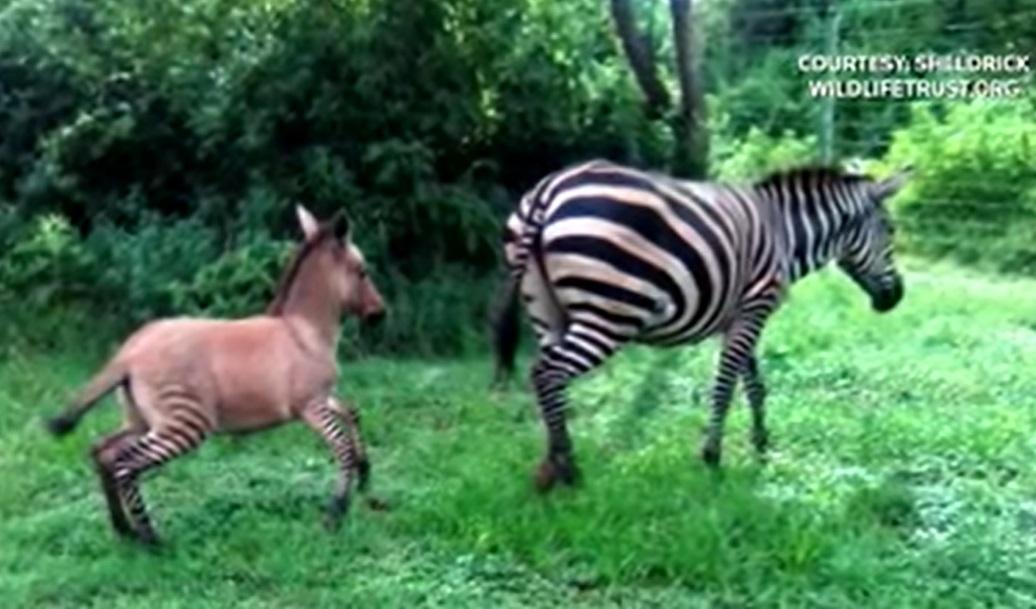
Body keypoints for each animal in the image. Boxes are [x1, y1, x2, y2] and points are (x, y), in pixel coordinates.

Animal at [491, 159, 910, 491]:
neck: (785, 234)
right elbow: (725, 385)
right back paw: (569, 471)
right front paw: (712, 456)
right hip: (610, 313)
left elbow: (754, 385)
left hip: (546, 311)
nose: (896, 298)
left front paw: (761, 446)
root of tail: (549, 189)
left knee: (551, 382)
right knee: (547, 373)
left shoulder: (741, 315)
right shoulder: (754, 307)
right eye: (890, 230)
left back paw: (554, 465)